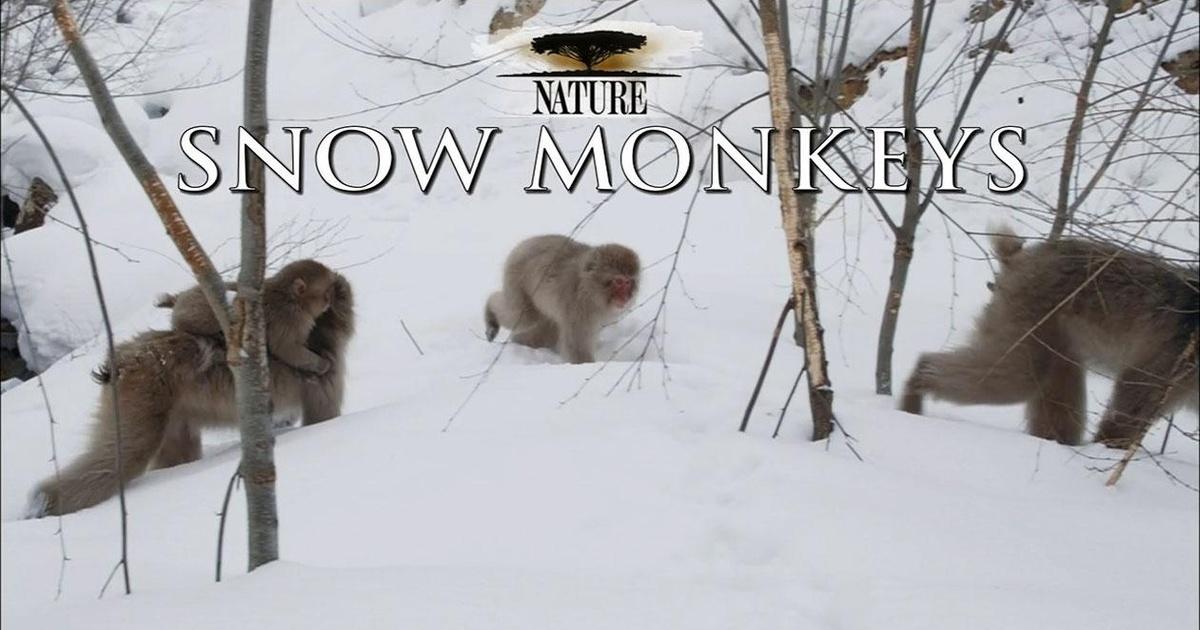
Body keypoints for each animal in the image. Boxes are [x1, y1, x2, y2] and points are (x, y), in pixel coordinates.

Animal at [156, 259, 338, 376]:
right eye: (326, 294)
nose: (330, 300)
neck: (291, 298)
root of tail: (179, 300)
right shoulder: (291, 319)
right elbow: (287, 348)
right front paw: (323, 365)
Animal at [484, 235, 640, 364]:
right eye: (618, 282)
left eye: (628, 282)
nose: (626, 296)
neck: (589, 289)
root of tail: (524, 244)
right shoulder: (578, 307)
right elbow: (577, 345)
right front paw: (586, 366)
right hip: (516, 279)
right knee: (523, 316)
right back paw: (491, 312)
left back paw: (520, 341)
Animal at [900, 226, 1199, 448]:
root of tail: (1022, 257)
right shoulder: (1172, 361)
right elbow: (1127, 408)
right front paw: (1108, 450)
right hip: (1029, 315)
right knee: (1020, 374)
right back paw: (916, 387)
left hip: (1053, 336)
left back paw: (1056, 442)